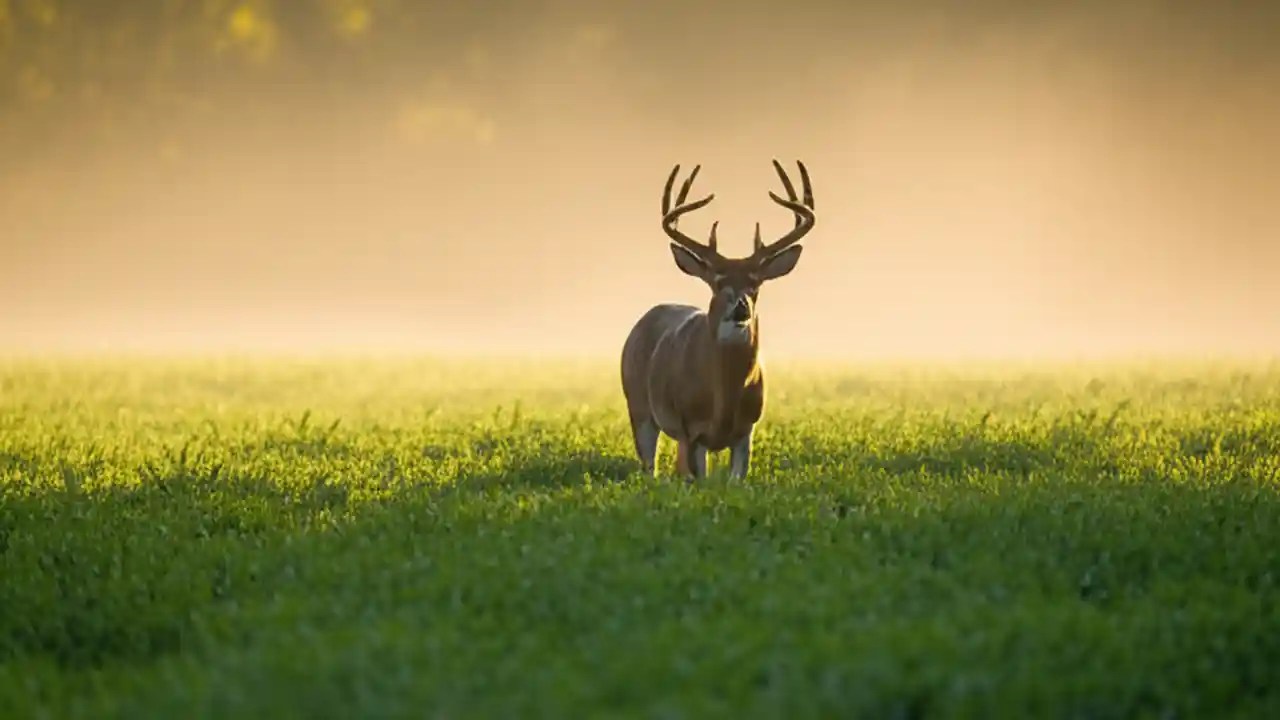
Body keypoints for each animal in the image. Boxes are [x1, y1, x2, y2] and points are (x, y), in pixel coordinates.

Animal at [620, 159, 817, 480]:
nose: (740, 308)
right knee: (650, 466)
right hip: (638, 407)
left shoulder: (747, 430)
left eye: (755, 283)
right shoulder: (689, 429)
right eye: (718, 281)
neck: (722, 402)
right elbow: (692, 476)